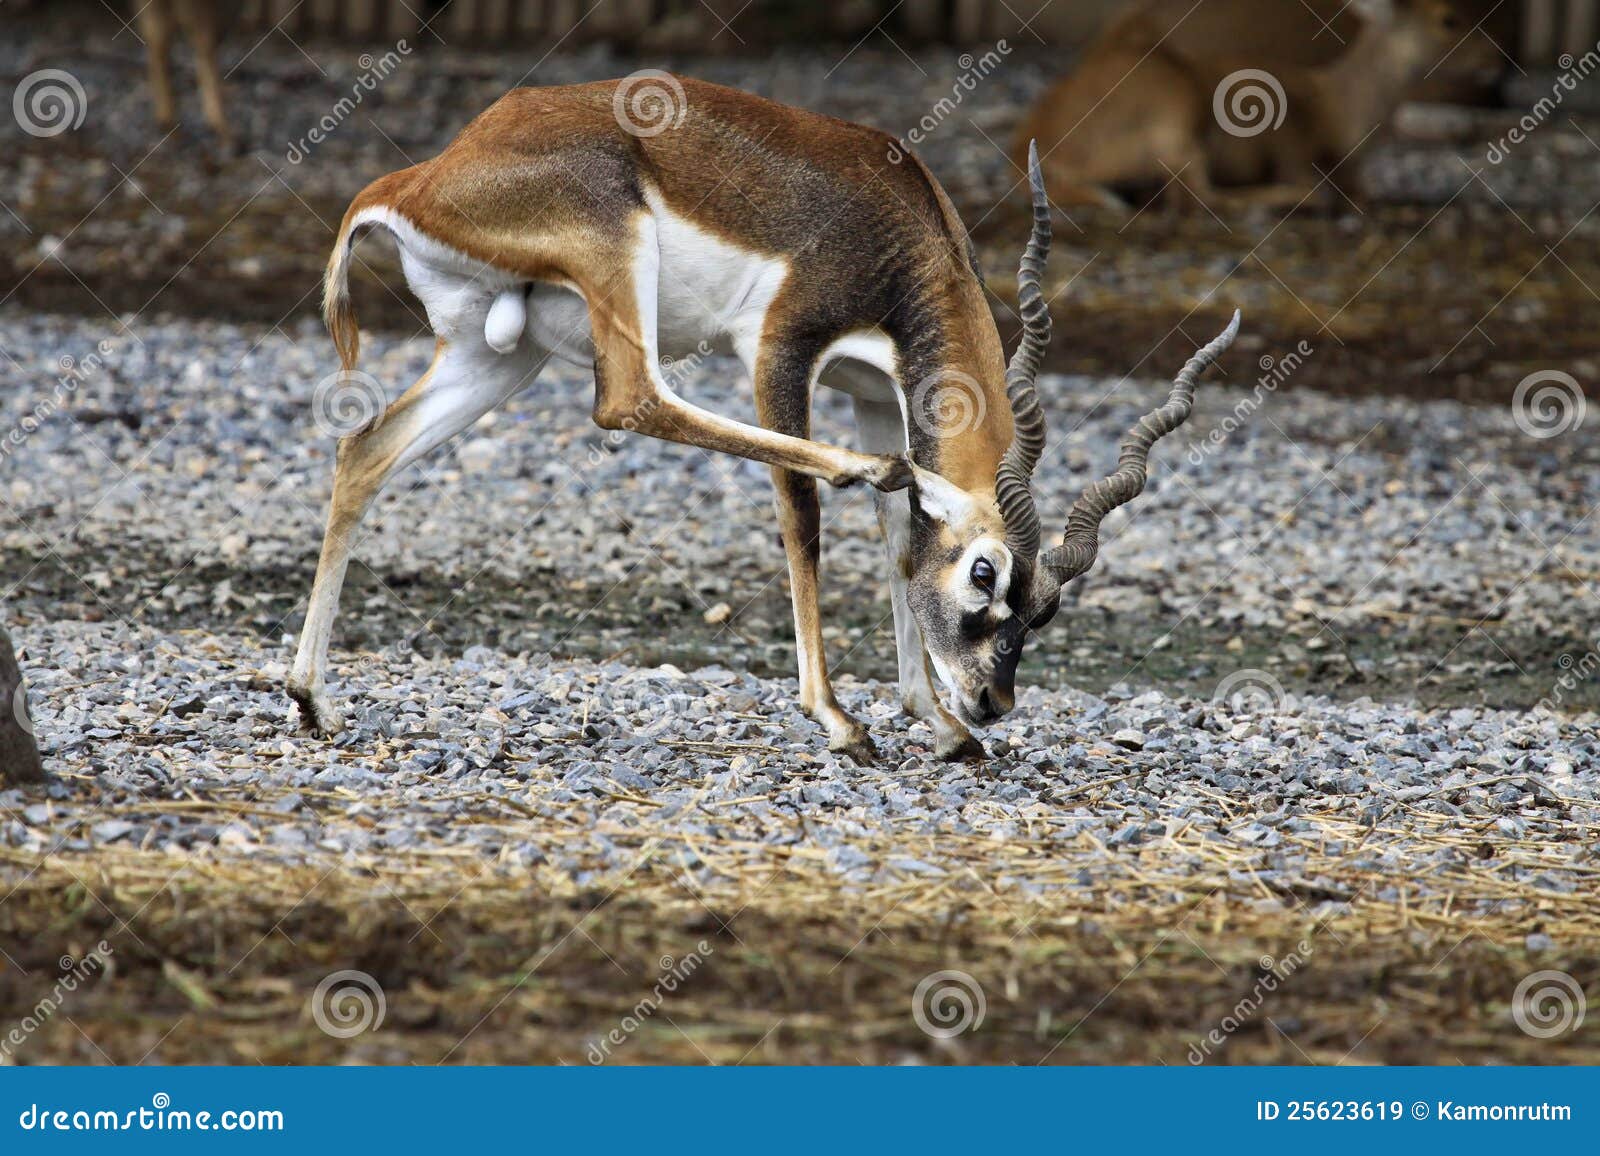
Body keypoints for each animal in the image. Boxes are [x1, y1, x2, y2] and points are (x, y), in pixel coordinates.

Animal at [286, 74, 1239, 762]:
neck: (896, 228)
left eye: (1040, 611)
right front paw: (844, 721)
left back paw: (312, 700)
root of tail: (427, 173)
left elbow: (901, 540)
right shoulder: (782, 348)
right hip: (616, 259)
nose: (992, 701)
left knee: (366, 450)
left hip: (498, 356)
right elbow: (805, 515)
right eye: (985, 574)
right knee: (631, 398)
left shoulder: (874, 391)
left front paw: (936, 723)